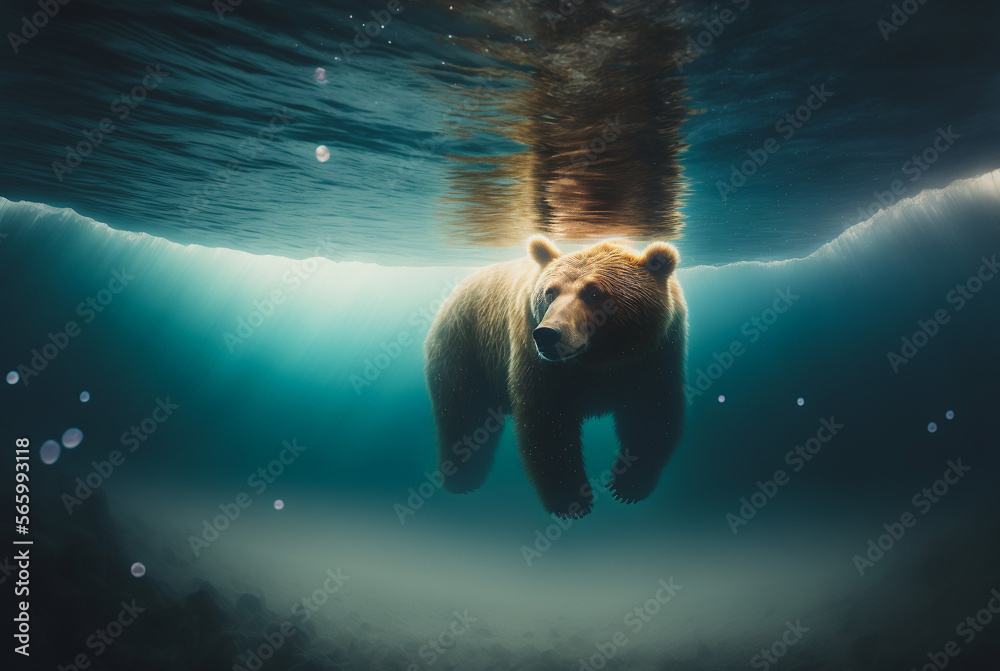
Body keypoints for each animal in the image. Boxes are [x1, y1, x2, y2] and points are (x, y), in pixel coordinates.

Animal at [424, 235, 687, 518]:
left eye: (594, 292)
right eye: (550, 291)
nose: (548, 334)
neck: (601, 359)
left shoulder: (654, 357)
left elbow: (651, 413)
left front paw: (628, 486)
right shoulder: (539, 362)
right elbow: (548, 424)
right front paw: (572, 501)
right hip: (465, 345)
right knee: (464, 413)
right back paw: (462, 479)